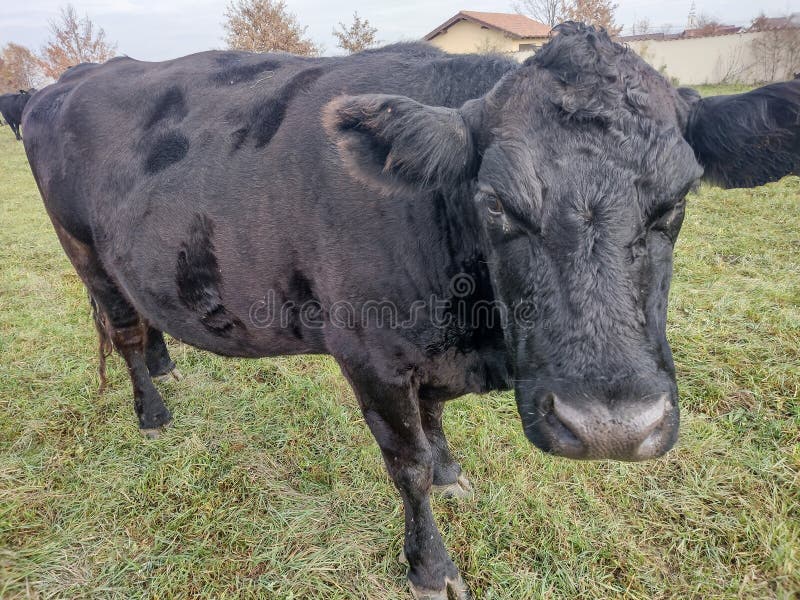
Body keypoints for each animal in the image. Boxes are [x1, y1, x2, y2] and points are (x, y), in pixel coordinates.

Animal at [21, 23, 800, 599]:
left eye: (677, 200)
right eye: (496, 203)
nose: (613, 428)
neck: (474, 337)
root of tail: (72, 79)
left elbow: (436, 425)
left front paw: (455, 476)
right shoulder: (369, 356)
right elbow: (409, 464)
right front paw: (431, 566)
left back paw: (166, 363)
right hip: (84, 250)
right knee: (121, 330)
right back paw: (152, 410)